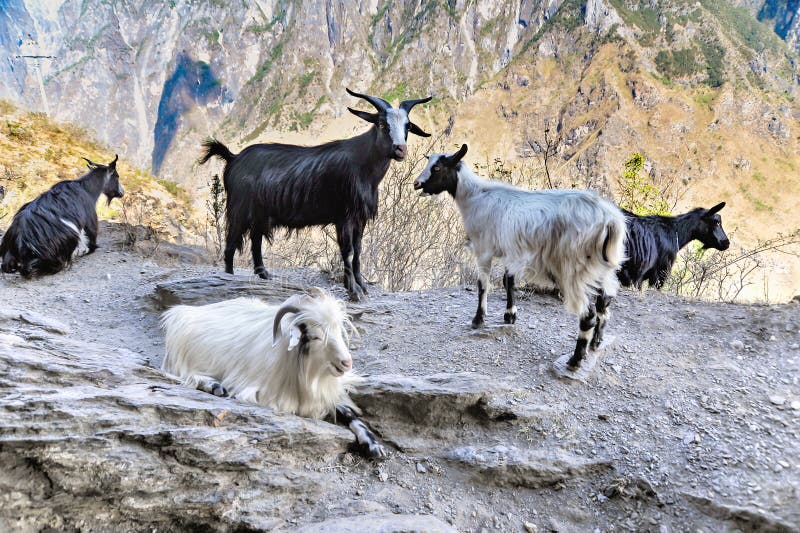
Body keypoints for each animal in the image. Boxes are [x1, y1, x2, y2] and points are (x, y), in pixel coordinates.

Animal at [161, 287, 386, 458]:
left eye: (339, 330)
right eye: (315, 336)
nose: (346, 363)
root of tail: (182, 312)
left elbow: (346, 410)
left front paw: (373, 444)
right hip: (182, 360)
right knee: (188, 375)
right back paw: (214, 385)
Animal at [199, 89, 432, 301]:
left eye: (408, 126)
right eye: (383, 124)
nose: (401, 149)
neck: (363, 165)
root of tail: (234, 157)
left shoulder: (360, 217)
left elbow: (358, 250)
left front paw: (362, 286)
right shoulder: (344, 216)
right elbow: (347, 251)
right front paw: (353, 291)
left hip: (260, 214)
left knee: (256, 239)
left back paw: (264, 274)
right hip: (239, 207)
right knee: (231, 242)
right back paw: (229, 279)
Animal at [413, 144, 627, 371]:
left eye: (437, 168)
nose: (417, 184)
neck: (475, 197)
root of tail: (611, 221)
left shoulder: (483, 249)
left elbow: (483, 285)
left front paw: (478, 319)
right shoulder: (511, 252)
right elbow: (509, 282)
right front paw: (510, 316)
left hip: (575, 268)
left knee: (588, 315)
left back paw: (575, 359)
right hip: (603, 267)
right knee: (604, 303)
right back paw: (596, 342)